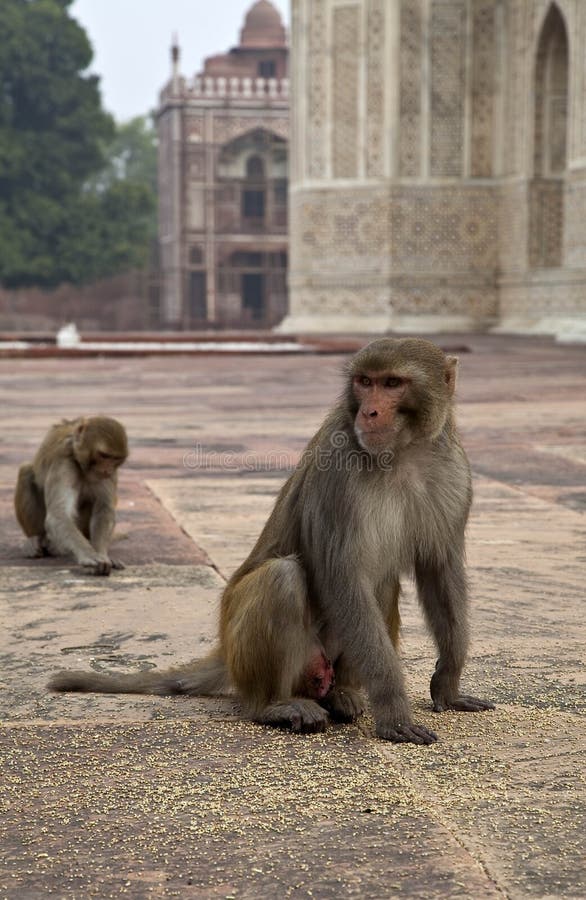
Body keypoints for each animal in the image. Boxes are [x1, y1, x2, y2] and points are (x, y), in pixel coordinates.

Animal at [15, 416, 128, 576]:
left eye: (116, 459)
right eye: (104, 455)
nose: (107, 470)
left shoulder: (110, 476)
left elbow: (104, 510)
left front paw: (102, 555)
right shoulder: (63, 463)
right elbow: (58, 515)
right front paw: (89, 554)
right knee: (25, 472)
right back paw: (34, 540)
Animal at [49, 338, 494, 743]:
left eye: (393, 383)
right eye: (365, 382)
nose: (369, 411)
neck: (406, 453)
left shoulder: (454, 471)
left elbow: (439, 570)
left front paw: (448, 683)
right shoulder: (339, 469)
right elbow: (341, 577)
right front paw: (393, 710)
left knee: (381, 586)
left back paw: (343, 694)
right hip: (247, 646)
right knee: (282, 578)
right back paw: (273, 706)